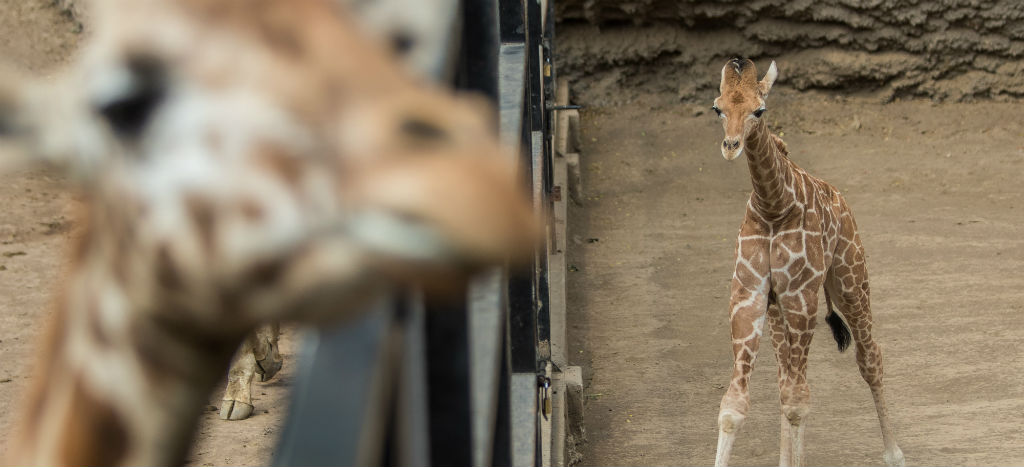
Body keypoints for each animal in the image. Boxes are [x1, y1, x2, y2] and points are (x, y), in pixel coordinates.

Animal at [709, 58, 904, 467]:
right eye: (718, 107)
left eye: (759, 110)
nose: (731, 147)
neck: (773, 205)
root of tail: (841, 198)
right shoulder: (749, 298)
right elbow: (735, 405)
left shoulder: (801, 298)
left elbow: (799, 401)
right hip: (779, 309)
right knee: (785, 379)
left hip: (850, 279)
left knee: (870, 357)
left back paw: (894, 454)